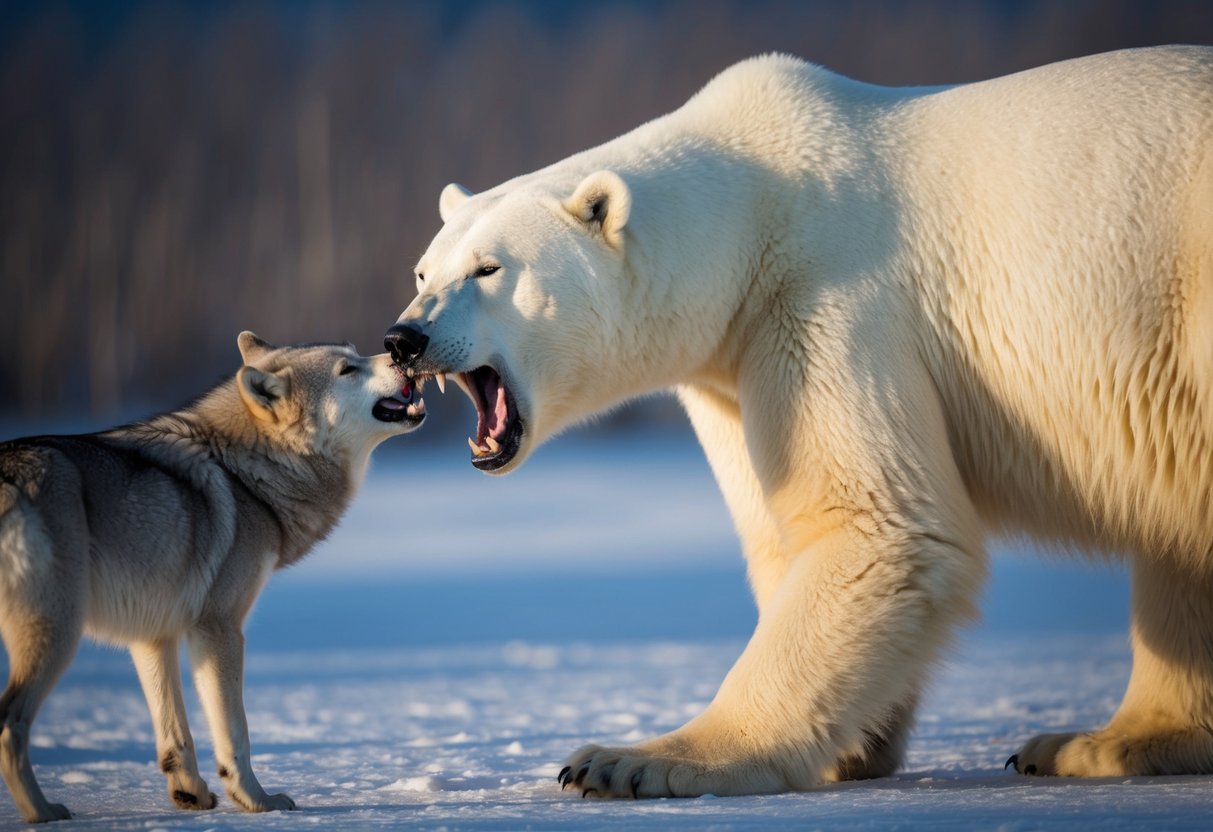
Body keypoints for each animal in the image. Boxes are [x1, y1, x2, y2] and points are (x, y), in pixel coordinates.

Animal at [0, 332, 424, 823]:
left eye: (356, 355)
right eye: (347, 370)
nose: (399, 353)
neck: (246, 473)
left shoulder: (153, 637)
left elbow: (175, 735)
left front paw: (191, 796)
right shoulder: (219, 629)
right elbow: (235, 732)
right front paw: (258, 802)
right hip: (58, 635)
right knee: (10, 723)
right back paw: (41, 811)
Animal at [385, 45, 1213, 796]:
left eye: (489, 268)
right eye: (424, 270)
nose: (403, 338)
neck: (751, 214)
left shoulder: (827, 301)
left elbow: (873, 524)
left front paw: (632, 761)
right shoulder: (732, 362)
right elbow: (782, 529)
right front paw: (855, 744)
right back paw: (1105, 740)